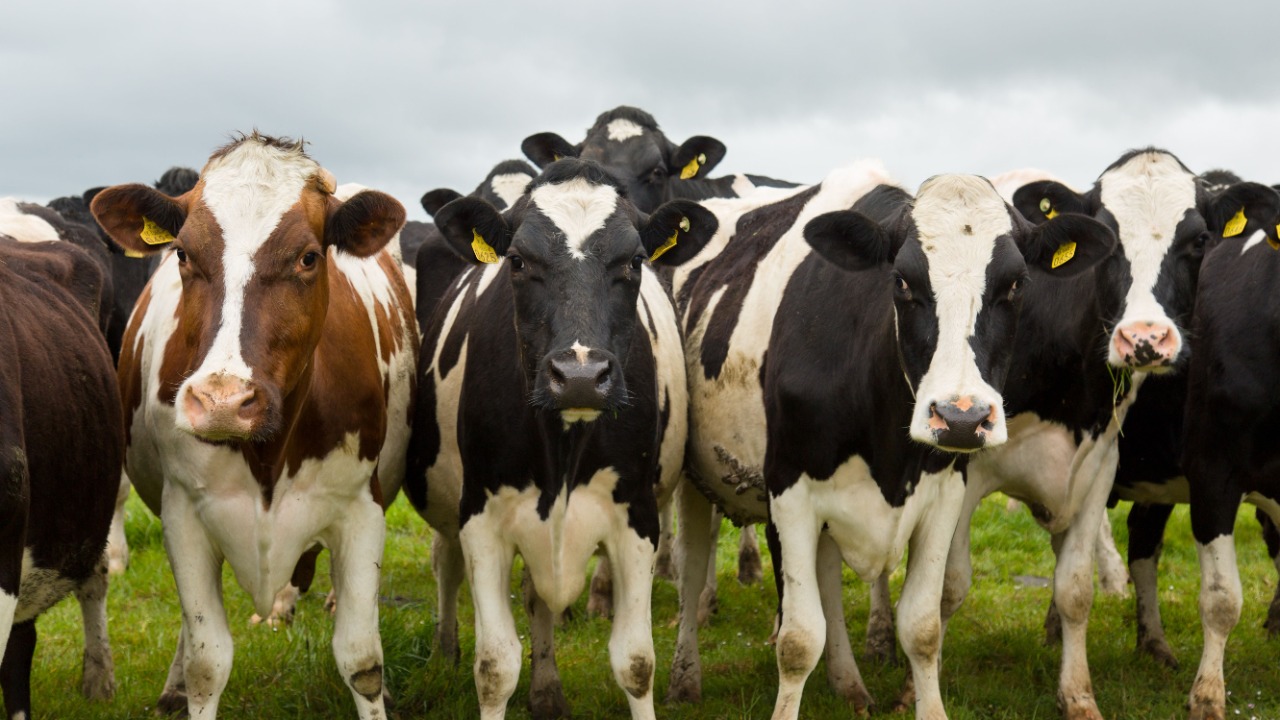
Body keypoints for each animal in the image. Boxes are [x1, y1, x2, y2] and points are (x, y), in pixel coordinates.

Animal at [90, 132, 417, 719]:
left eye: (309, 257)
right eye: (183, 253)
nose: (222, 402)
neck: (269, 453)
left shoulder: (362, 508)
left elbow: (362, 659)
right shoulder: (184, 514)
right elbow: (207, 662)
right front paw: (187, 685)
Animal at [403, 158, 717, 719]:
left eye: (635, 261)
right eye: (517, 261)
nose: (580, 375)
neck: (564, 447)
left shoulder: (637, 516)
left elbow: (636, 661)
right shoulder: (481, 516)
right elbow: (495, 666)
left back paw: (547, 691)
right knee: (447, 564)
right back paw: (444, 651)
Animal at [674, 161, 1116, 719]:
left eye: (1016, 284)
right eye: (903, 282)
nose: (962, 418)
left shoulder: (946, 492)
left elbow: (922, 628)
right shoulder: (789, 492)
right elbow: (798, 639)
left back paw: (848, 684)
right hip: (690, 478)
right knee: (691, 570)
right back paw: (685, 677)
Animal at [937, 150, 1279, 720]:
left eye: (1200, 240)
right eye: (1109, 239)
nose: (1144, 339)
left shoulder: (1101, 465)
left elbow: (1076, 585)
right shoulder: (1213, 470)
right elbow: (1222, 597)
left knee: (1139, 540)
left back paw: (1150, 642)